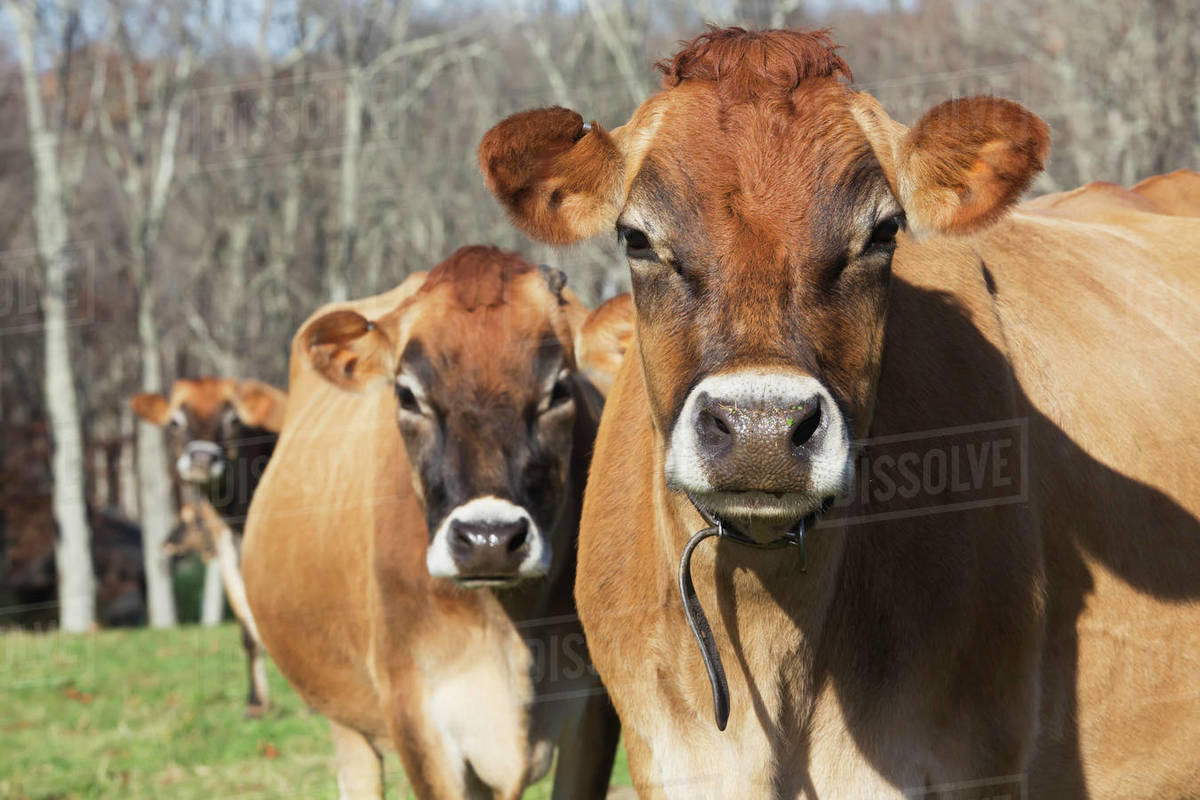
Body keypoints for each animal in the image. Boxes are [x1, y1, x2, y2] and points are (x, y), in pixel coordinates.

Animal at [131, 377, 286, 717]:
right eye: (175, 421)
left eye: (233, 420)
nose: (202, 461)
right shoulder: (225, 546)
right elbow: (247, 623)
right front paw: (257, 703)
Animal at [241, 246, 632, 800]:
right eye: (407, 395)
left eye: (559, 389)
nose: (489, 539)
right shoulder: (418, 715)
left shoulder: (595, 710)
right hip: (343, 715)